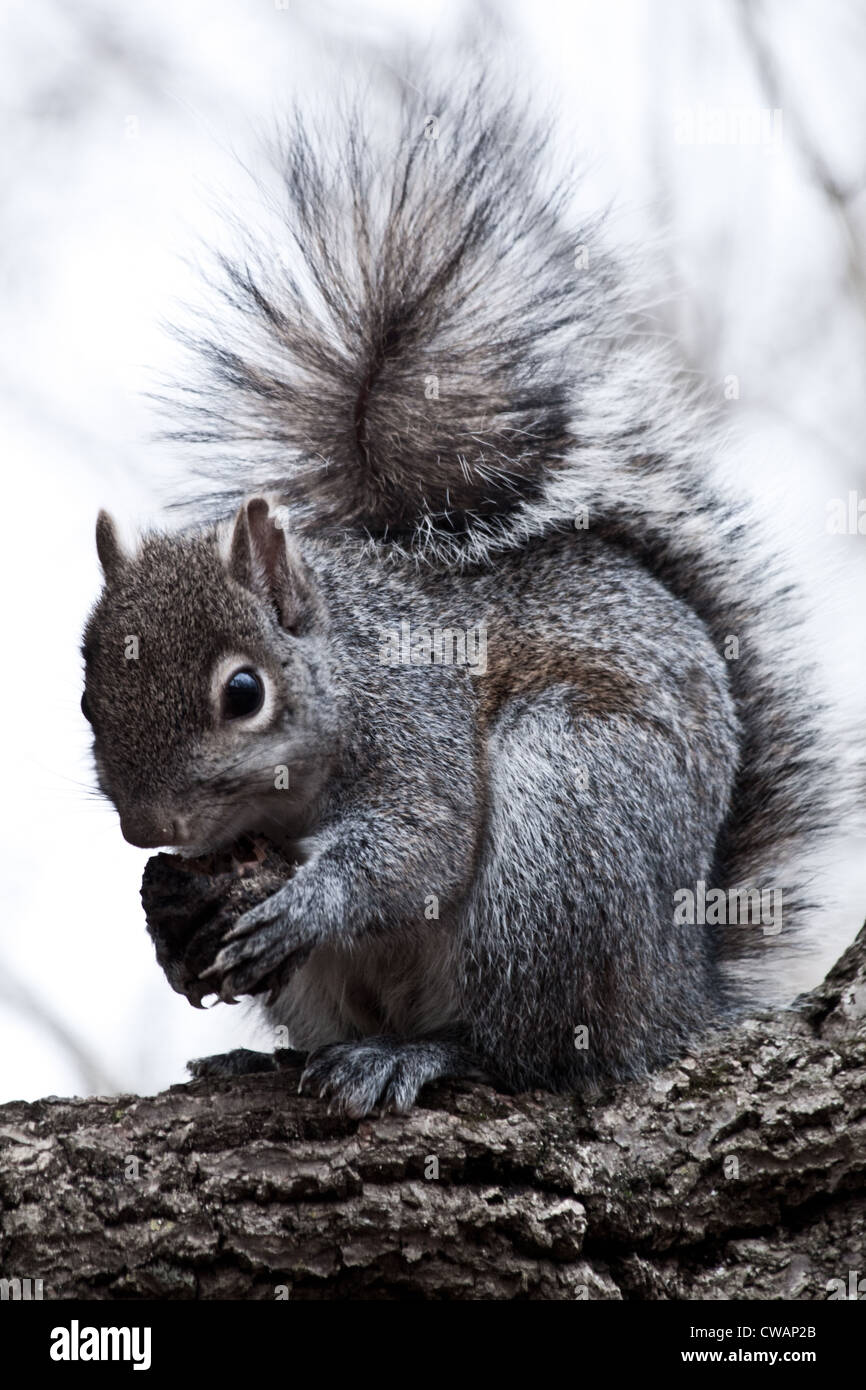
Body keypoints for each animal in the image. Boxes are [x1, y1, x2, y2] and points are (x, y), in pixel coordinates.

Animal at [80, 78, 841, 1118]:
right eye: (86, 700)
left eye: (244, 692)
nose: (148, 830)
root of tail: (676, 998)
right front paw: (168, 923)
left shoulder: (420, 725)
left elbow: (418, 846)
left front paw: (307, 901)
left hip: (563, 830)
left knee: (530, 1050)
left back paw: (425, 1055)